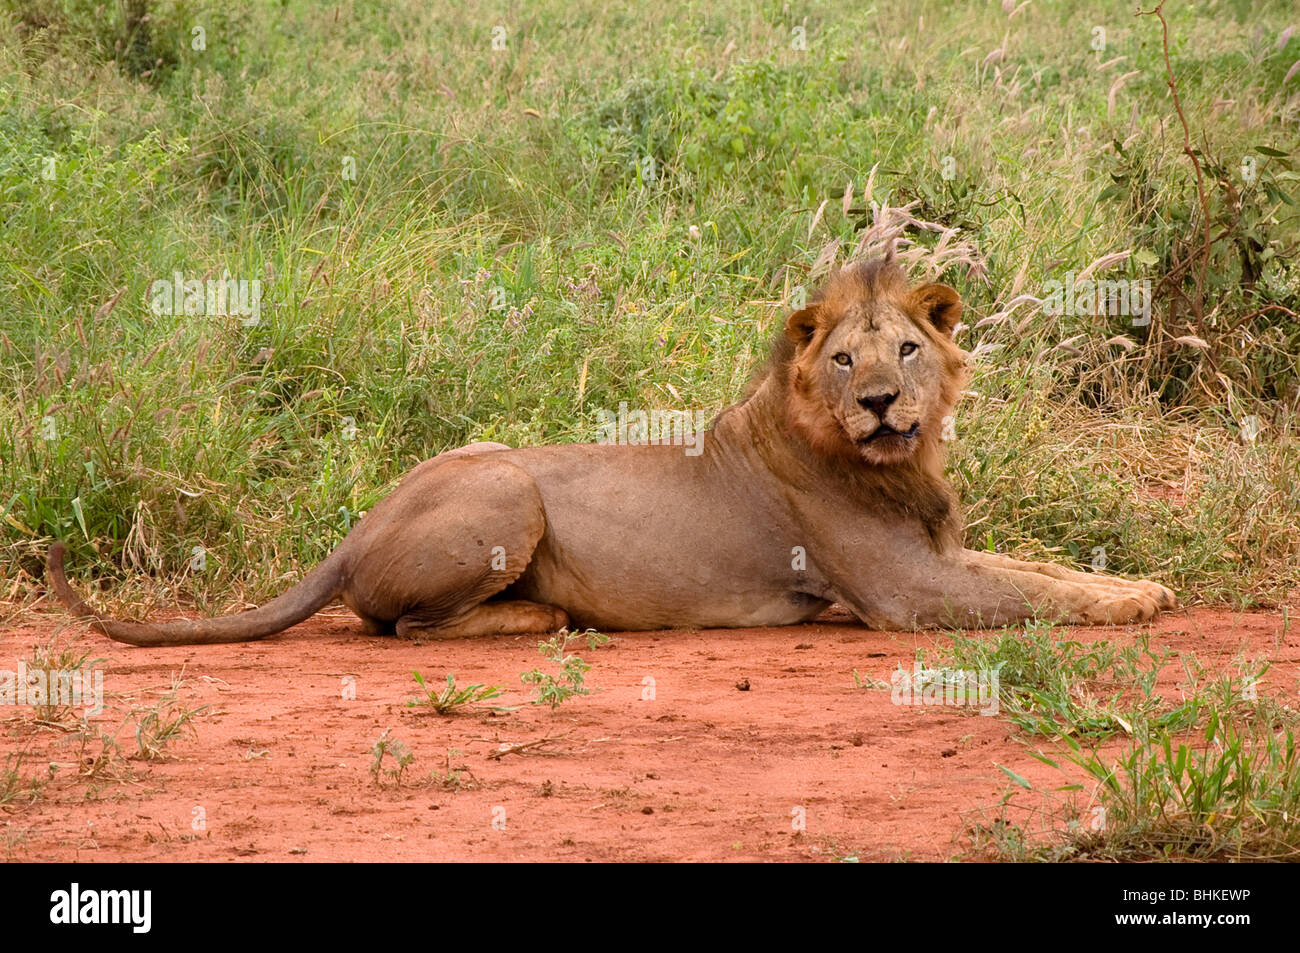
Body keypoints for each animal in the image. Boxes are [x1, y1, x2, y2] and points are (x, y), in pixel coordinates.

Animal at [48, 258, 1177, 646]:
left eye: (905, 347)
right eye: (844, 359)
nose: (881, 402)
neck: (901, 468)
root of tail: (356, 527)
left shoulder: (937, 554)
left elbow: (1045, 569)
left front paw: (1145, 586)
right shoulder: (903, 591)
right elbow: (1030, 594)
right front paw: (1130, 608)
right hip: (507, 484)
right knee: (403, 626)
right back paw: (547, 616)